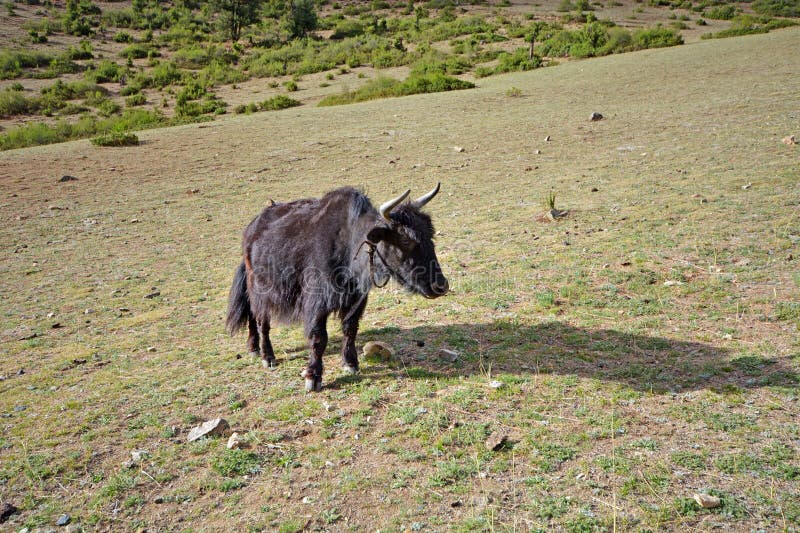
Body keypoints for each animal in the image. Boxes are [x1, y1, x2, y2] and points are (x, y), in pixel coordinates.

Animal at [225, 184, 449, 392]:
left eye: (430, 234)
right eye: (404, 238)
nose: (441, 286)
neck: (347, 246)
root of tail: (252, 227)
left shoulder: (356, 299)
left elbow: (350, 329)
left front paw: (351, 364)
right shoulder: (316, 301)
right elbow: (318, 337)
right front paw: (313, 377)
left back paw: (254, 348)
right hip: (260, 288)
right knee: (261, 320)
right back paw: (267, 356)